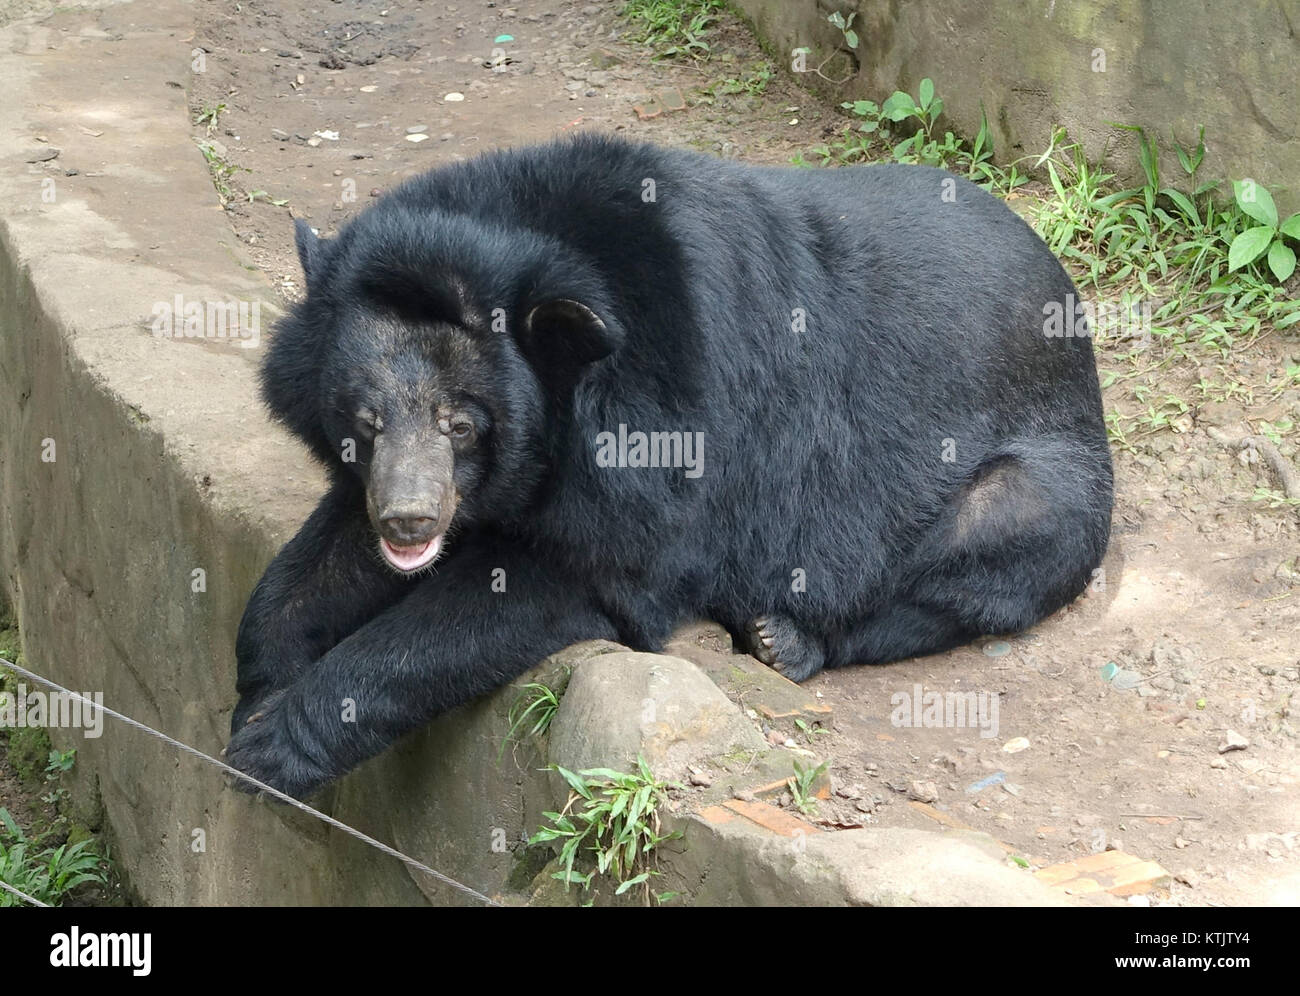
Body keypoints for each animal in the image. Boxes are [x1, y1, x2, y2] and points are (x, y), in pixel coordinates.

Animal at [225, 132, 1112, 798]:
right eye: (364, 422)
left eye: (462, 423)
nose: (409, 520)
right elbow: (312, 569)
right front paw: (257, 688)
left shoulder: (661, 446)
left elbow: (567, 581)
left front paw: (270, 747)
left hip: (1045, 467)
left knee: (996, 550)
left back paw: (784, 637)